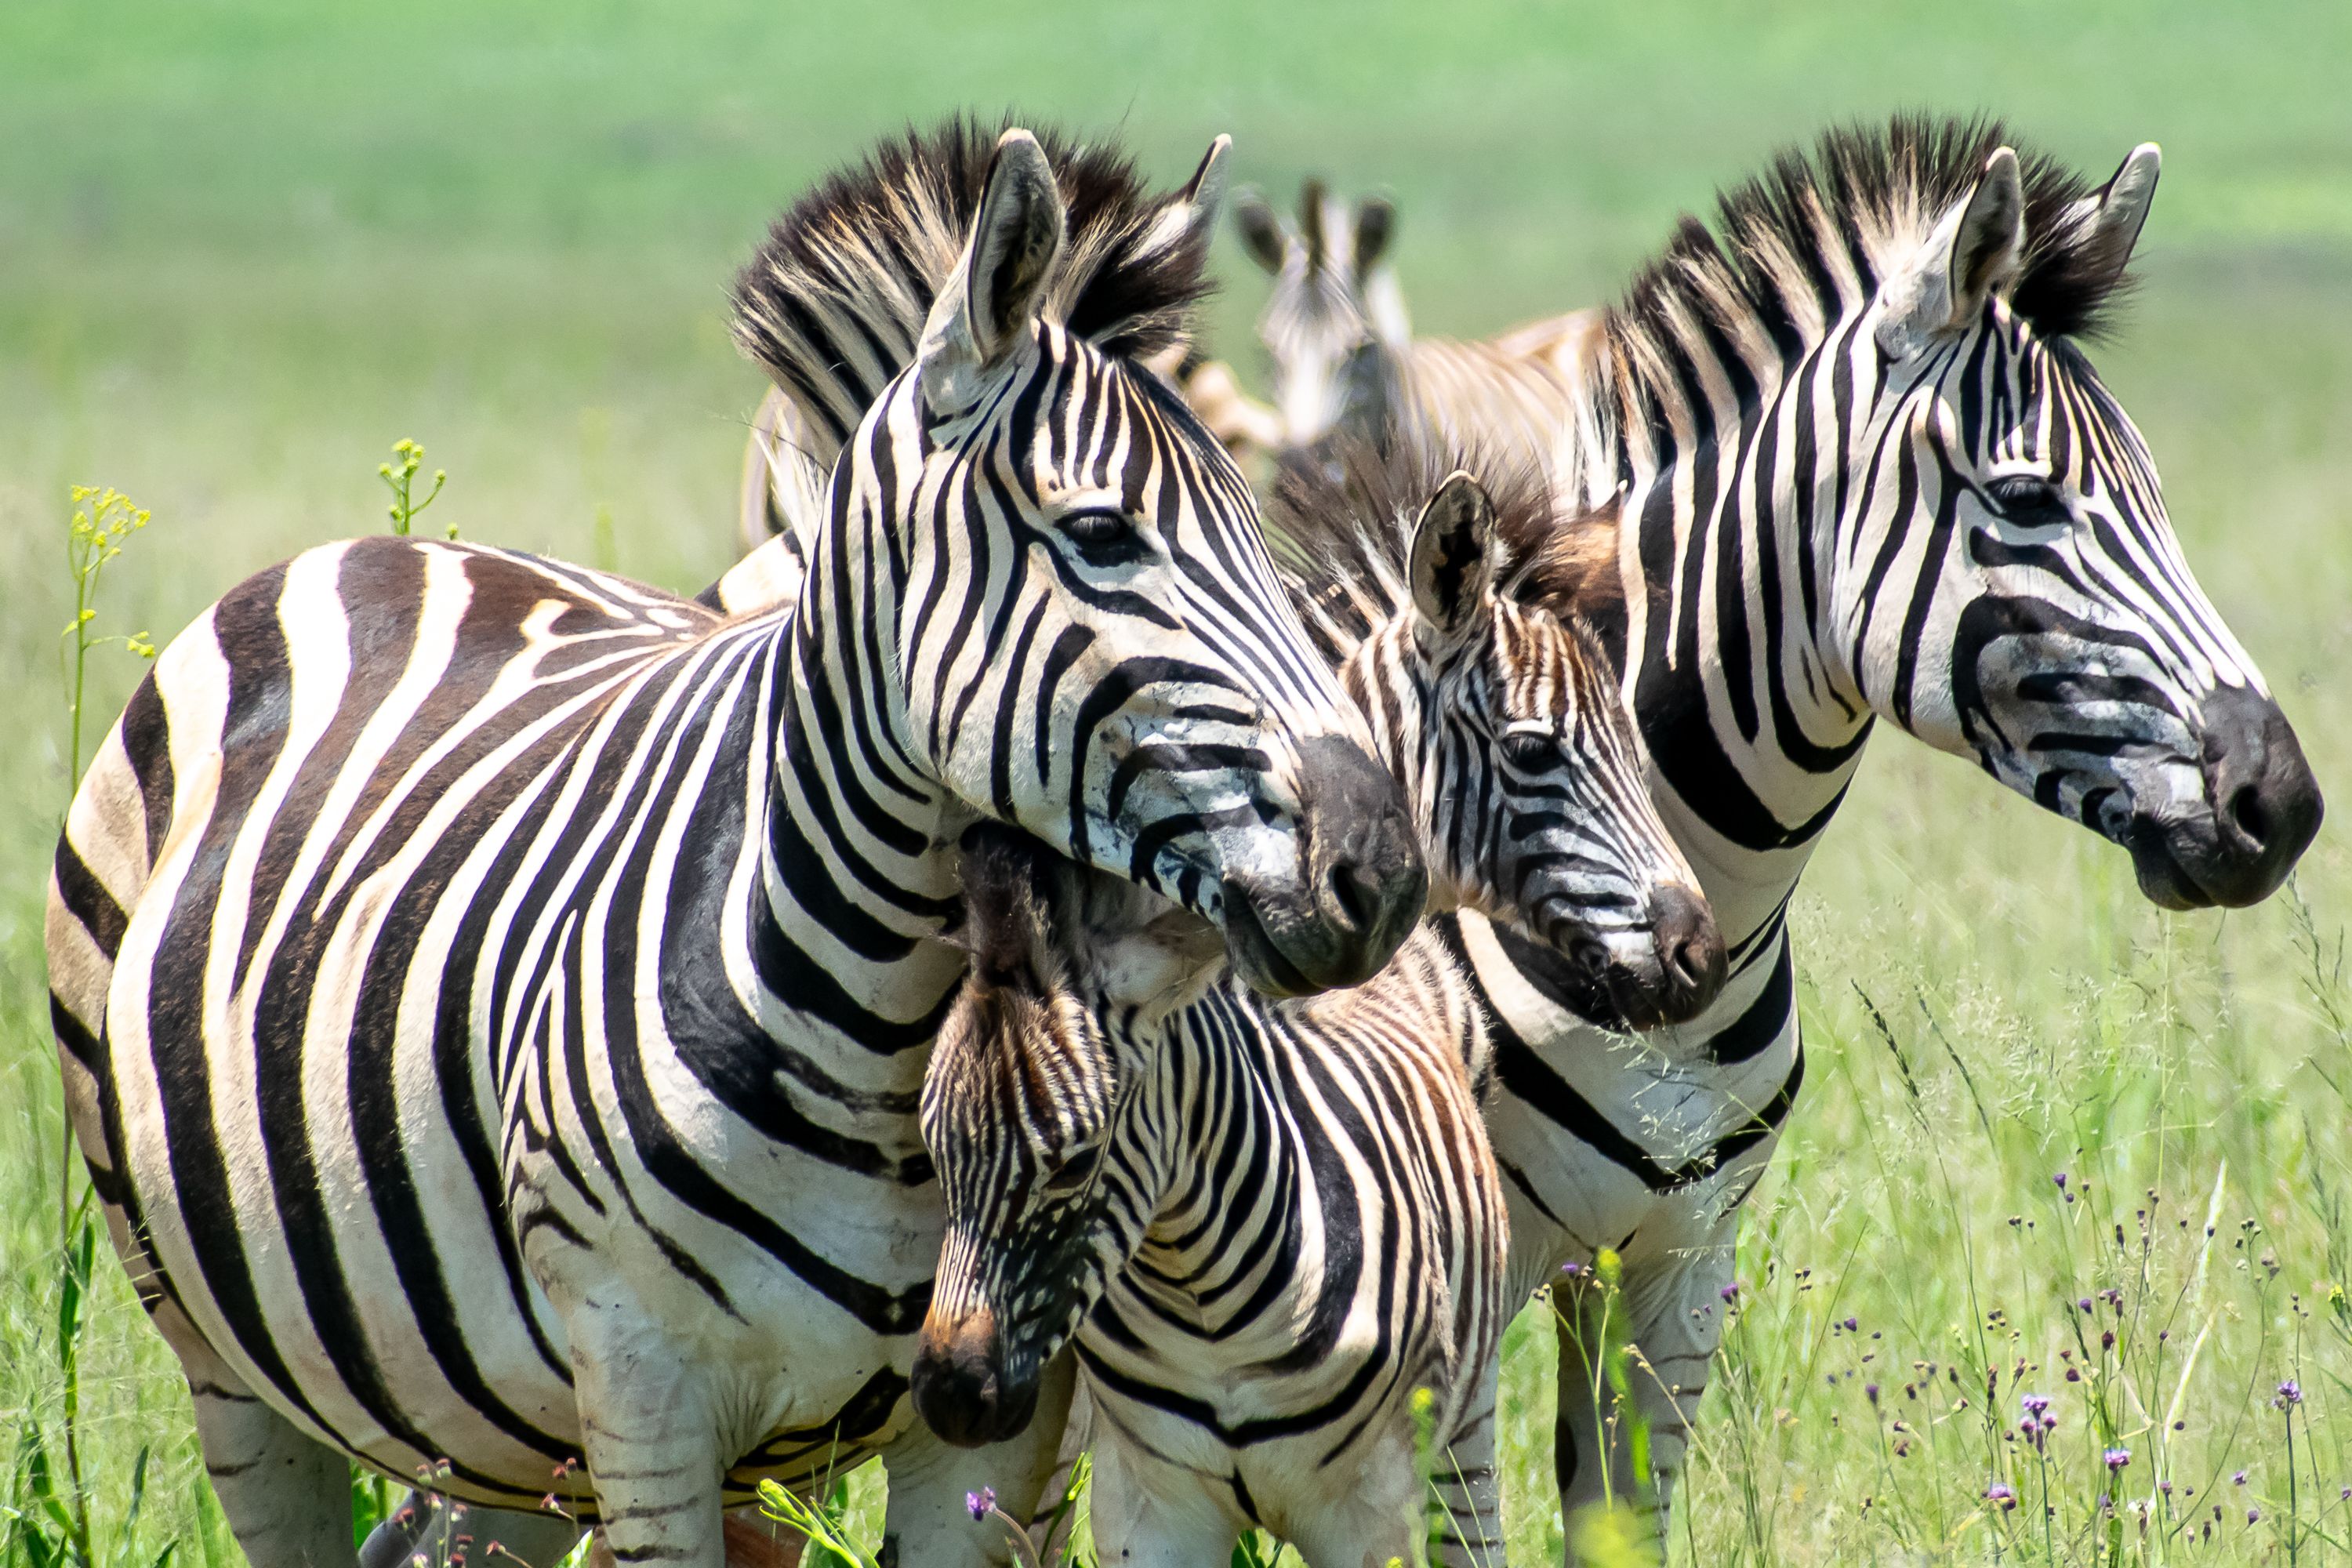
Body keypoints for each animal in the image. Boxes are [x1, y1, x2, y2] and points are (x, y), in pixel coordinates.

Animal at [43, 120, 1435, 1568]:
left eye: (1264, 518)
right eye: (1103, 532)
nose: (1383, 871)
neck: (881, 1050)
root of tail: (376, 550)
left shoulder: (1002, 1406)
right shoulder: (645, 1397)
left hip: (504, 1435)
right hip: (224, 1359)